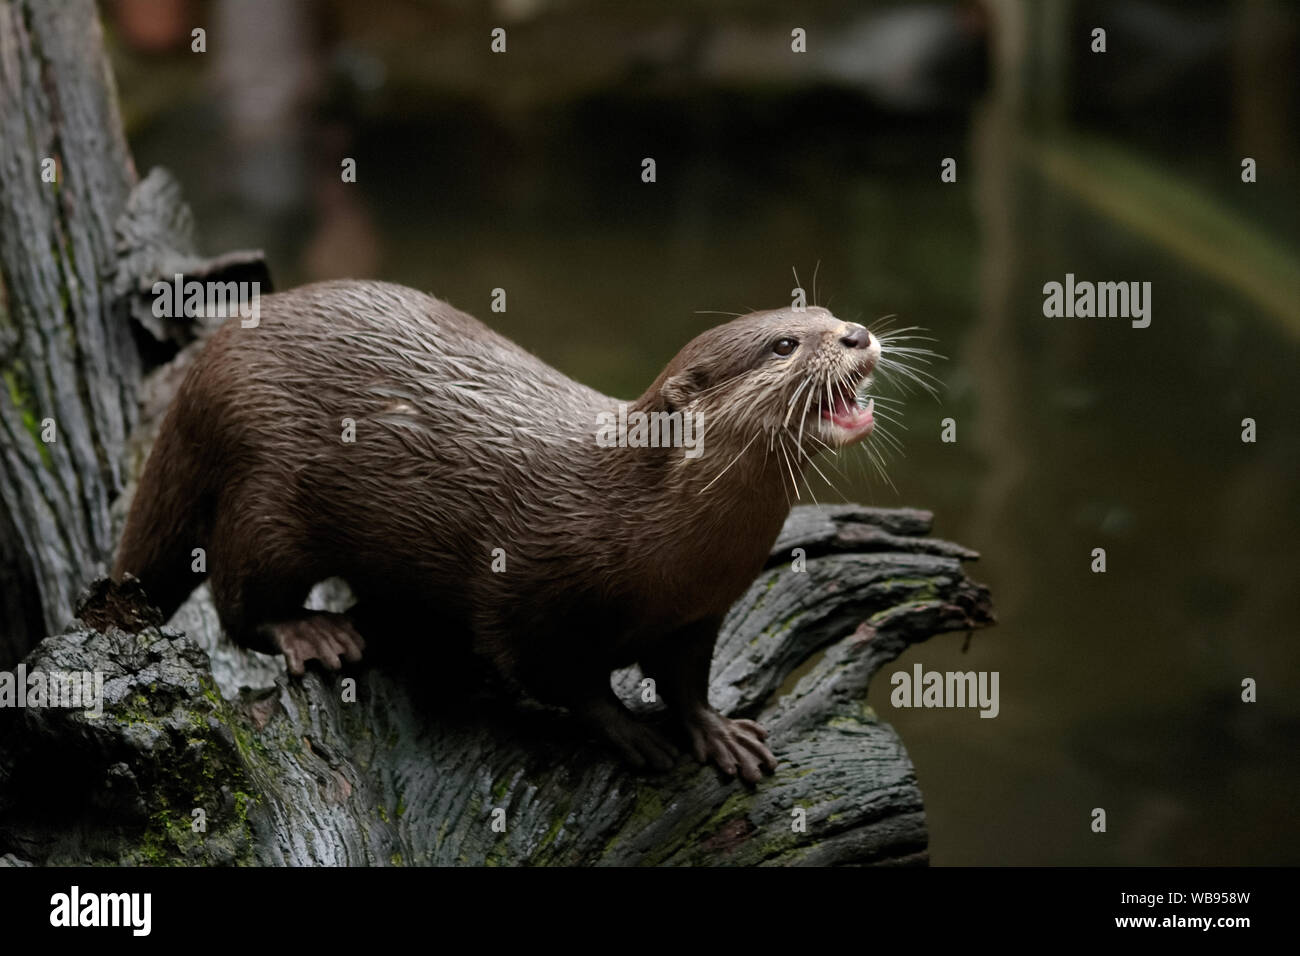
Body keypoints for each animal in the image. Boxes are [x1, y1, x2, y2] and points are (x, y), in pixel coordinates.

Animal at [114, 280, 881, 783]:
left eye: (828, 312)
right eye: (784, 344)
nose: (859, 334)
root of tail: (206, 372)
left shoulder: (701, 613)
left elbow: (686, 678)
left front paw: (717, 731)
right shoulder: (529, 590)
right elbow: (559, 676)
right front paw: (627, 731)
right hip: (264, 494)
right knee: (239, 600)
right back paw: (314, 632)